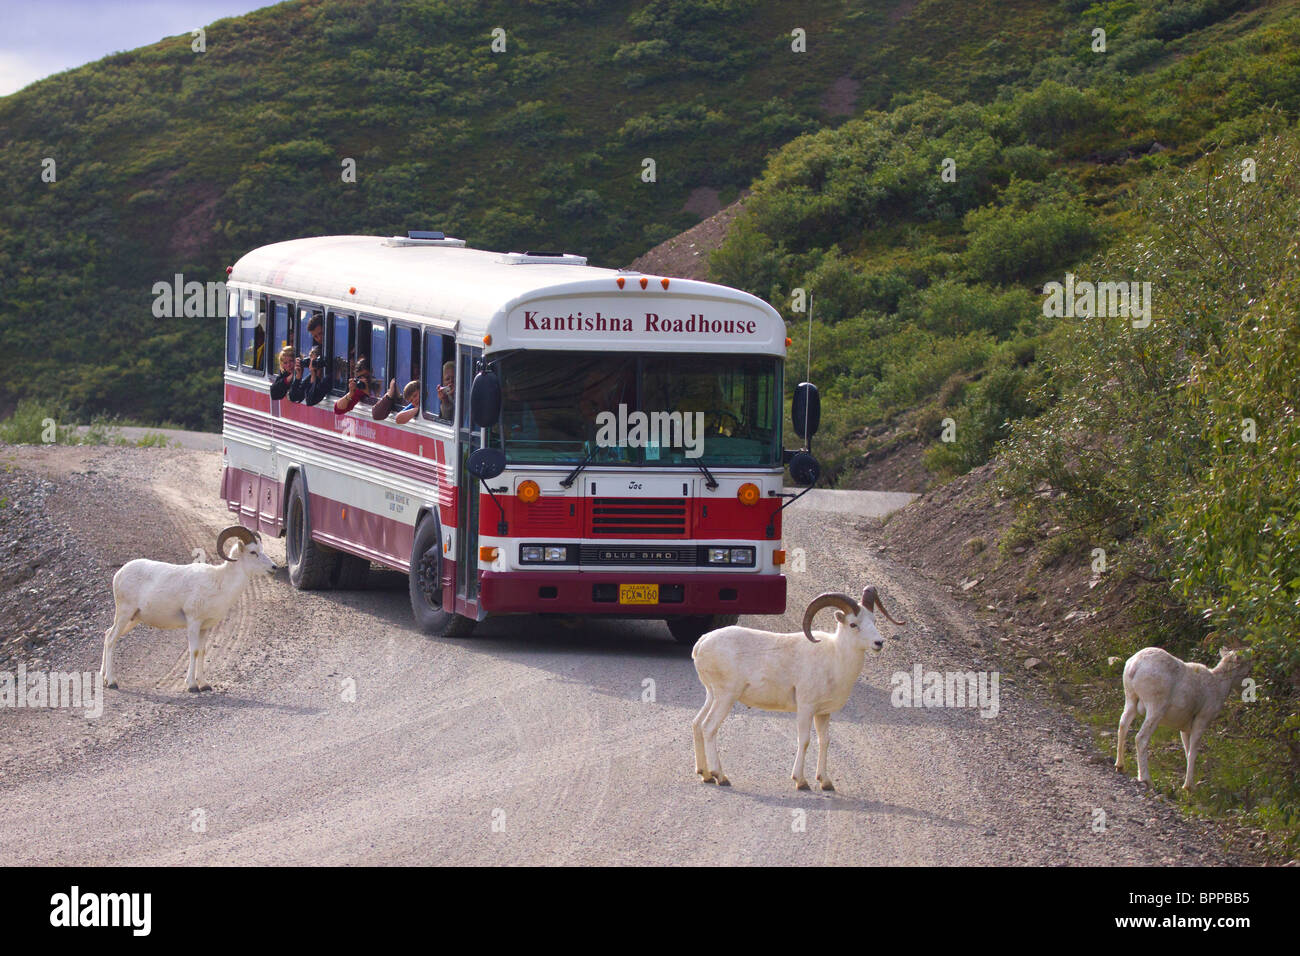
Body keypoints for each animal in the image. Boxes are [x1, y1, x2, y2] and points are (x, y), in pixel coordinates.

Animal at [100, 526, 278, 693]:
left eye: (262, 549)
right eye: (253, 552)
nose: (274, 567)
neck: (219, 583)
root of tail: (119, 573)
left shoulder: (205, 627)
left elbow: (203, 652)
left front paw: (204, 685)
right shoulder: (193, 622)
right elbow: (194, 651)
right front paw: (192, 686)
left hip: (133, 618)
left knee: (108, 634)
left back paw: (103, 678)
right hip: (124, 614)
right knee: (111, 639)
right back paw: (112, 682)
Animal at [691, 586, 905, 790]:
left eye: (873, 620)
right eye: (854, 624)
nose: (879, 643)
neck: (835, 658)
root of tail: (702, 643)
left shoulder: (823, 713)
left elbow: (824, 741)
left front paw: (826, 783)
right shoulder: (806, 708)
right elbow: (805, 740)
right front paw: (801, 782)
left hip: (712, 696)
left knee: (697, 724)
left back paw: (706, 775)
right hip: (726, 697)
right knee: (709, 727)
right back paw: (721, 777)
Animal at [1115, 646, 1251, 790]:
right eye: (1248, 667)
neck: (1219, 685)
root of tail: (1134, 666)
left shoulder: (1185, 729)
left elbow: (1187, 751)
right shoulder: (1201, 721)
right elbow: (1193, 752)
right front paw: (1189, 787)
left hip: (1131, 700)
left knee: (1123, 725)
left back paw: (1120, 766)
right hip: (1155, 708)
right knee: (1141, 738)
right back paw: (1147, 780)